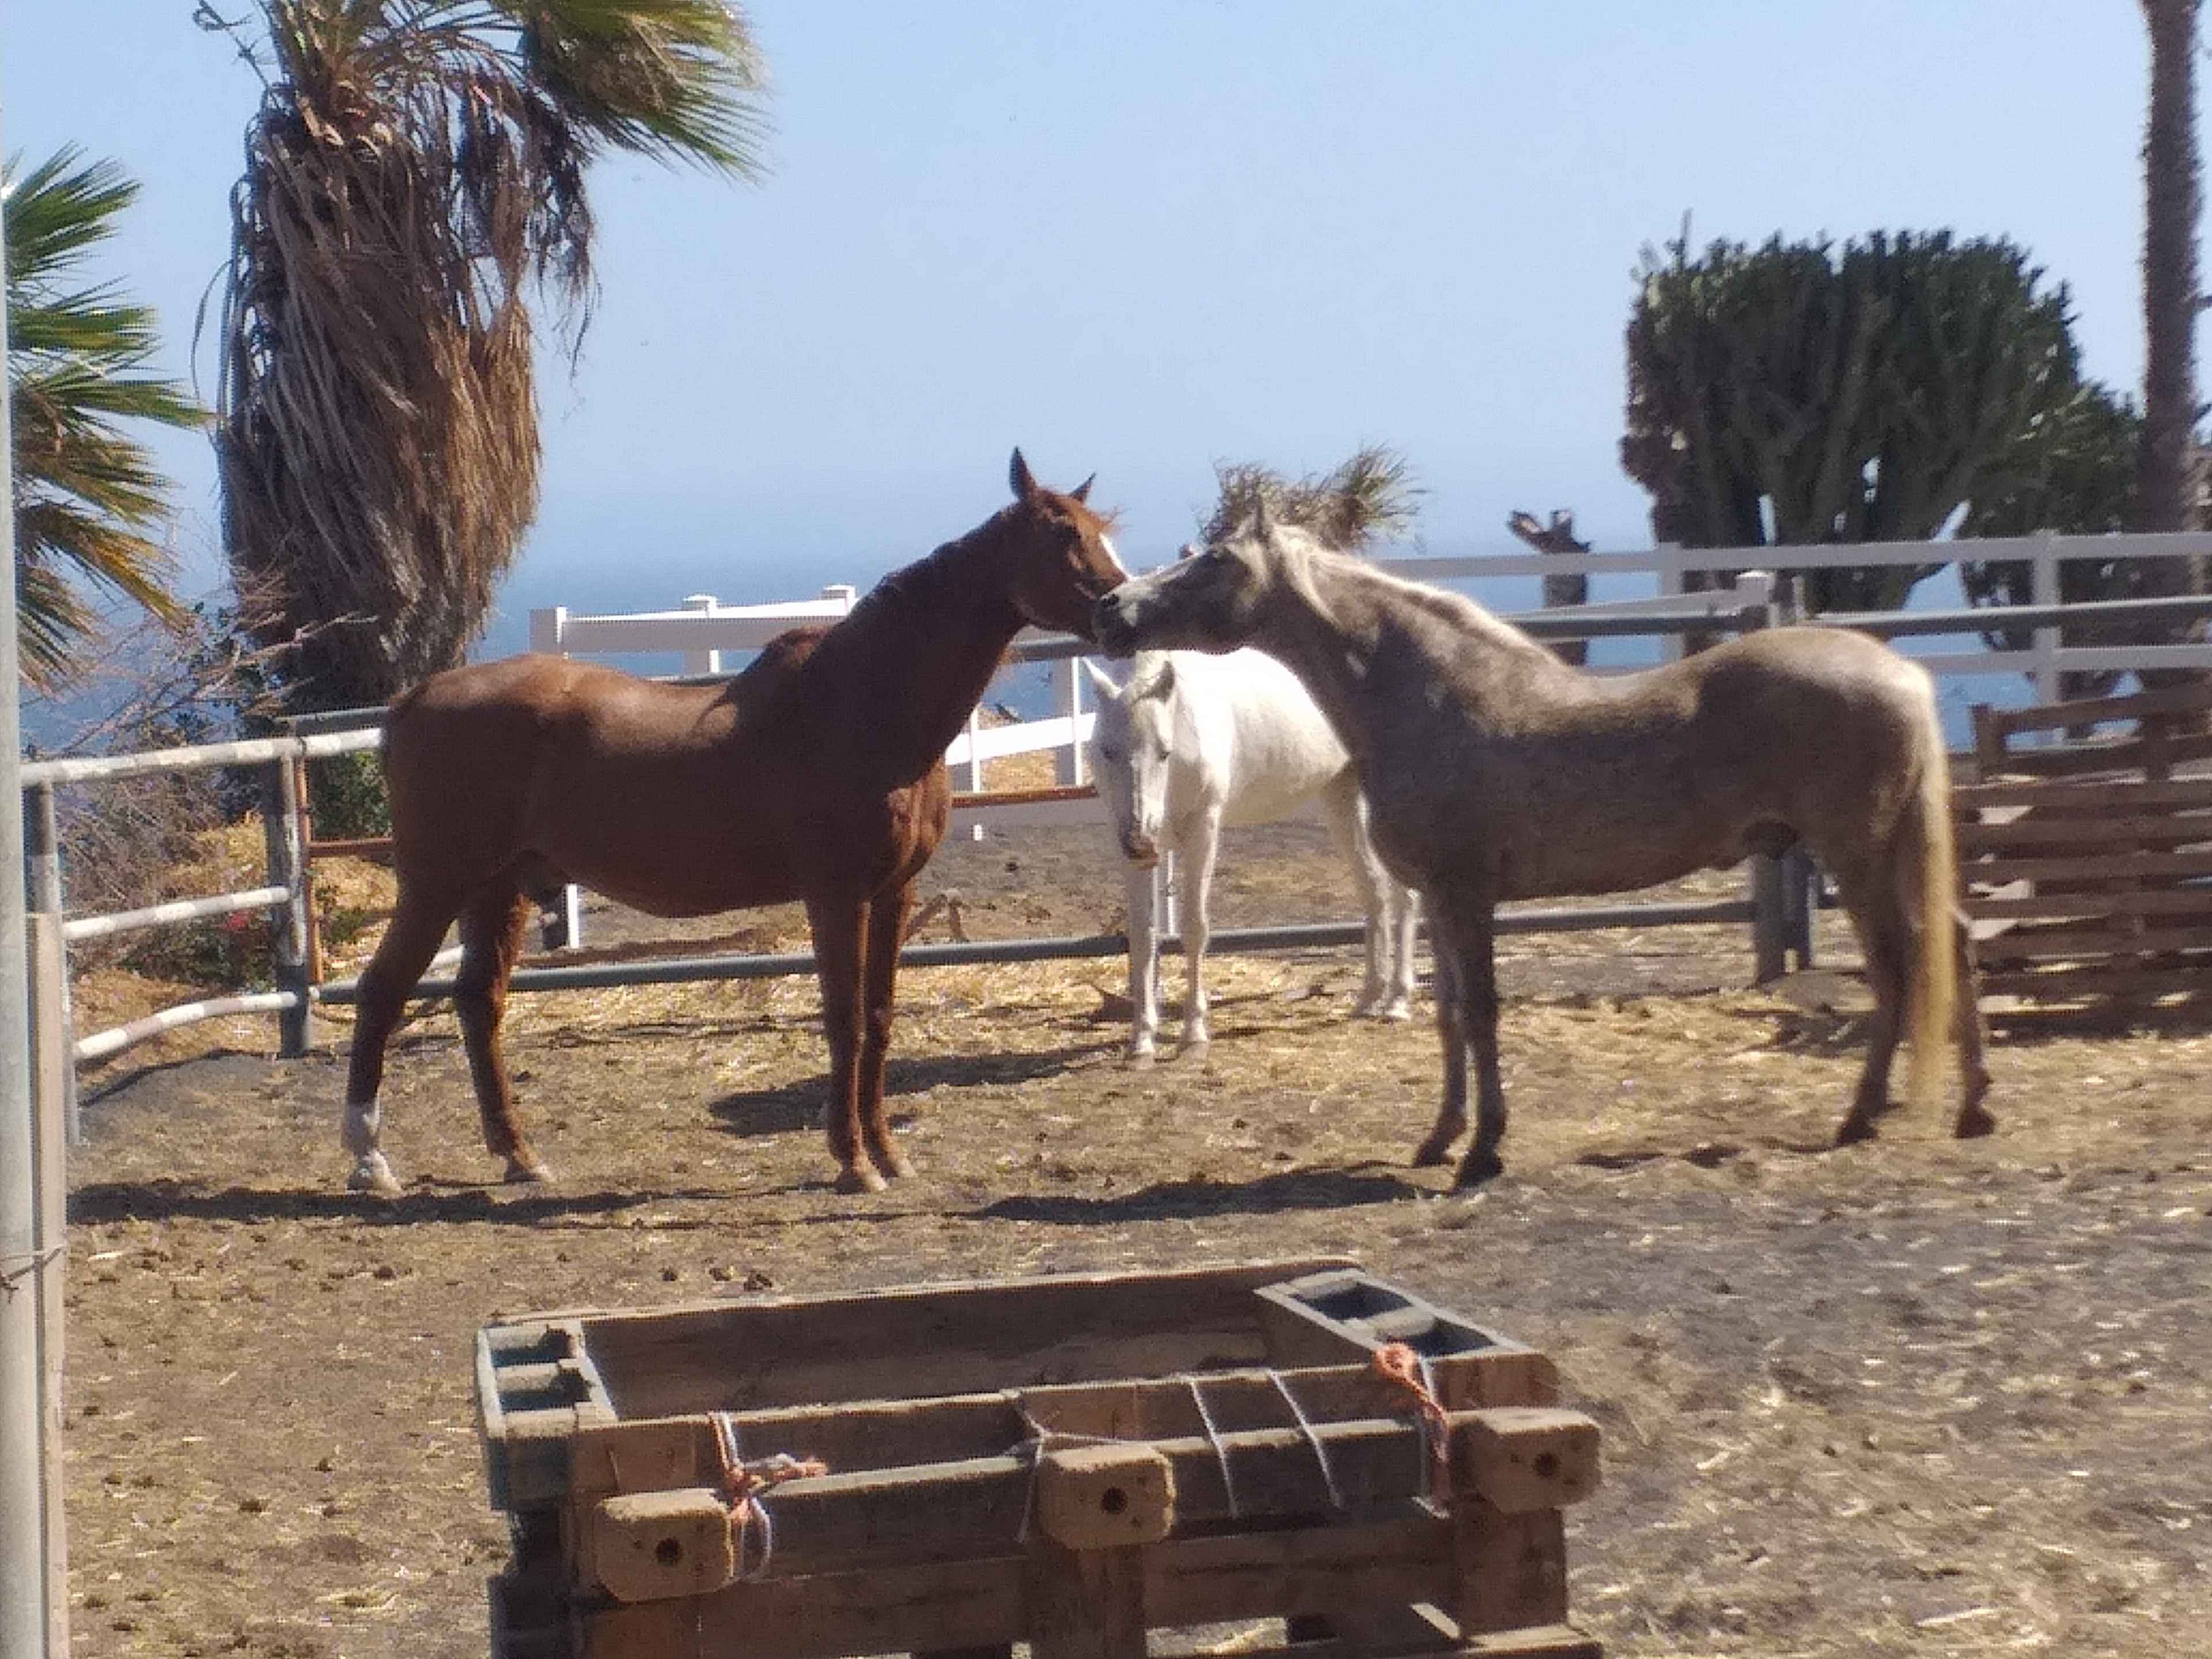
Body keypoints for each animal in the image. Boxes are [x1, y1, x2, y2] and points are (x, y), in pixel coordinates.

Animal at [341, 450, 1130, 1198]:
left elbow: (878, 1020)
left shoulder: (892, 893)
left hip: (497, 889)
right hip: (436, 885)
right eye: (1061, 534)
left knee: (479, 1005)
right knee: (382, 992)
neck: (863, 705)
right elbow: (844, 1019)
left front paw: (888, 1154)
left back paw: (519, 1157)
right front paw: (853, 1162)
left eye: (1101, 532)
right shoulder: (837, 897)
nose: (1120, 611)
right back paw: (371, 1162)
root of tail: (416, 699)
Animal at [1082, 647, 1418, 1062]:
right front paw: (1141, 1042)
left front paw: (1194, 1036)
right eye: (1107, 750)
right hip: (1340, 795)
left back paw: (1397, 1003)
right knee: (1374, 890)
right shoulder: (1127, 845)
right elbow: (1143, 938)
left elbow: (1194, 929)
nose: (1142, 841)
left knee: (1405, 895)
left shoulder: (1204, 828)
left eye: (1165, 752)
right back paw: (1371, 998)